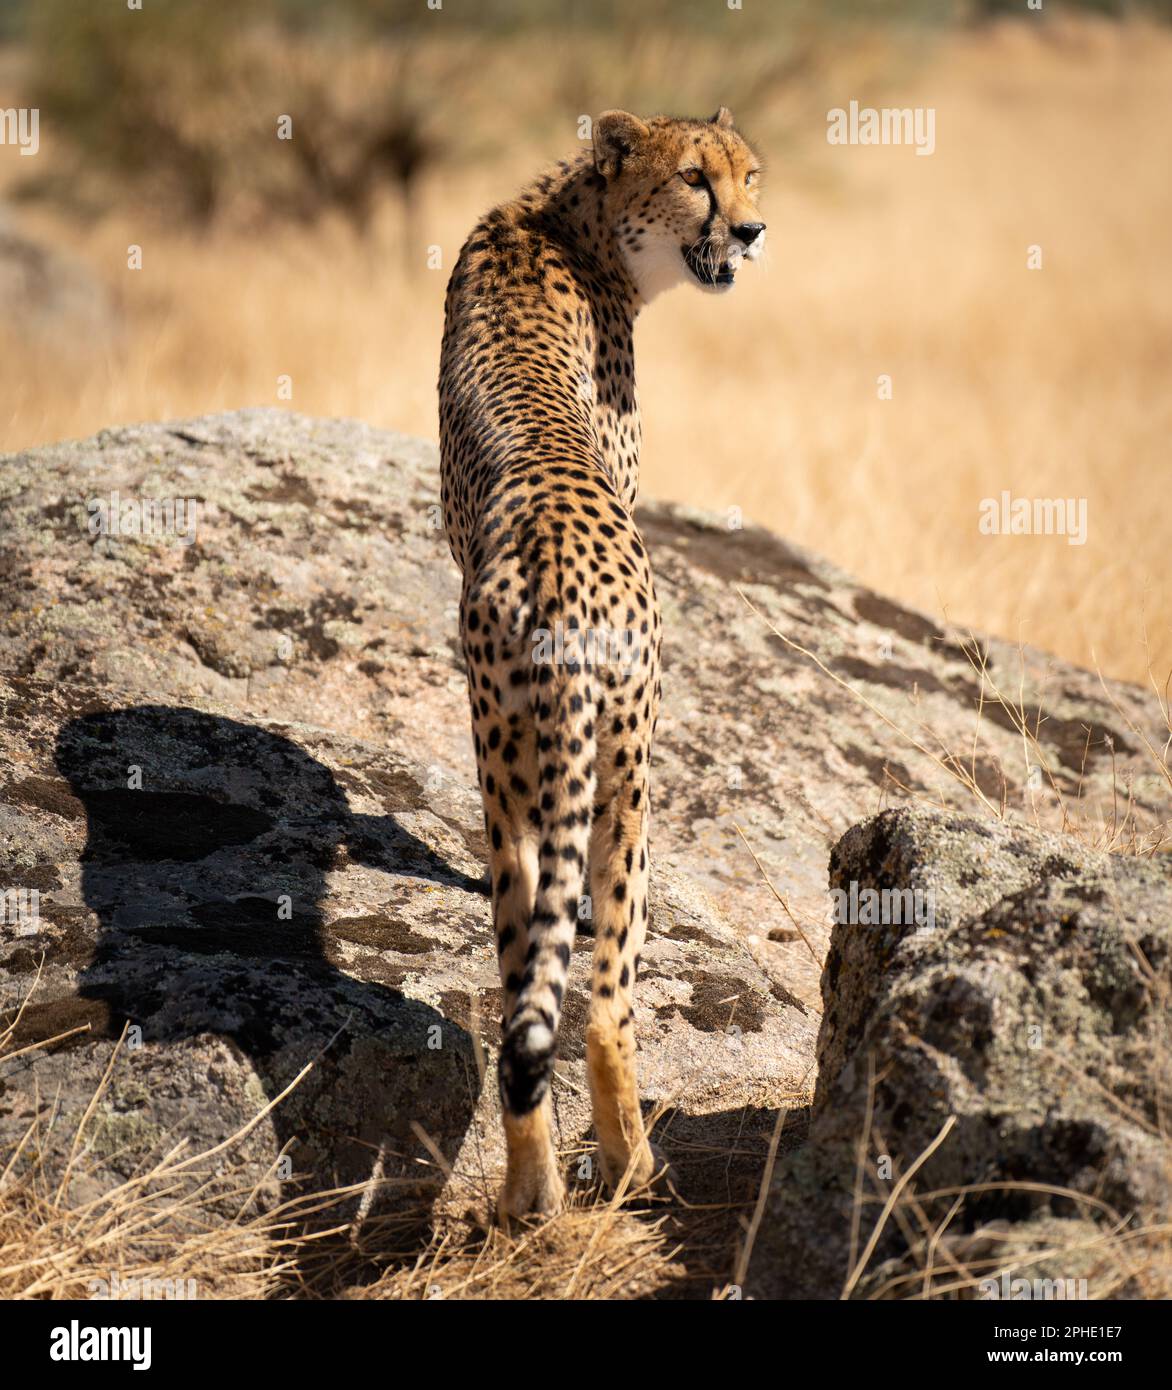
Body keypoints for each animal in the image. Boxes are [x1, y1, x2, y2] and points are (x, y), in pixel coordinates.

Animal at [438, 106, 765, 1221]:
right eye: (696, 179)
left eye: (751, 175)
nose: (752, 231)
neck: (565, 214)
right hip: (625, 776)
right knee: (602, 1002)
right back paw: (628, 1168)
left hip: (508, 762)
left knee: (520, 1014)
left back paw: (529, 1197)